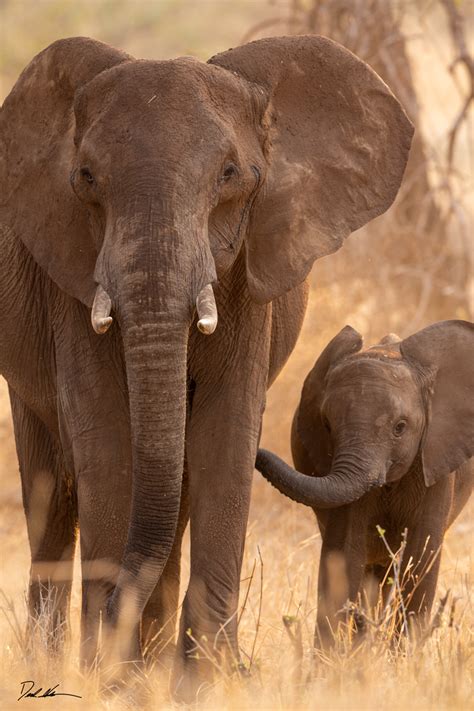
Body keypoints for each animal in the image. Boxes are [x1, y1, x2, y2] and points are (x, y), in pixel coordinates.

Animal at [0, 34, 413, 692]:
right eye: (86, 178)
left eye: (229, 176)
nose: (112, 609)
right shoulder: (72, 273)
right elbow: (105, 436)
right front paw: (110, 677)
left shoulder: (250, 273)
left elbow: (227, 430)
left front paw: (206, 679)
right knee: (54, 492)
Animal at [256, 320, 474, 647]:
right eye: (327, 425)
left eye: (400, 428)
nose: (256, 453)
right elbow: (345, 555)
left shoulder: (435, 461)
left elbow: (420, 559)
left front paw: (402, 658)